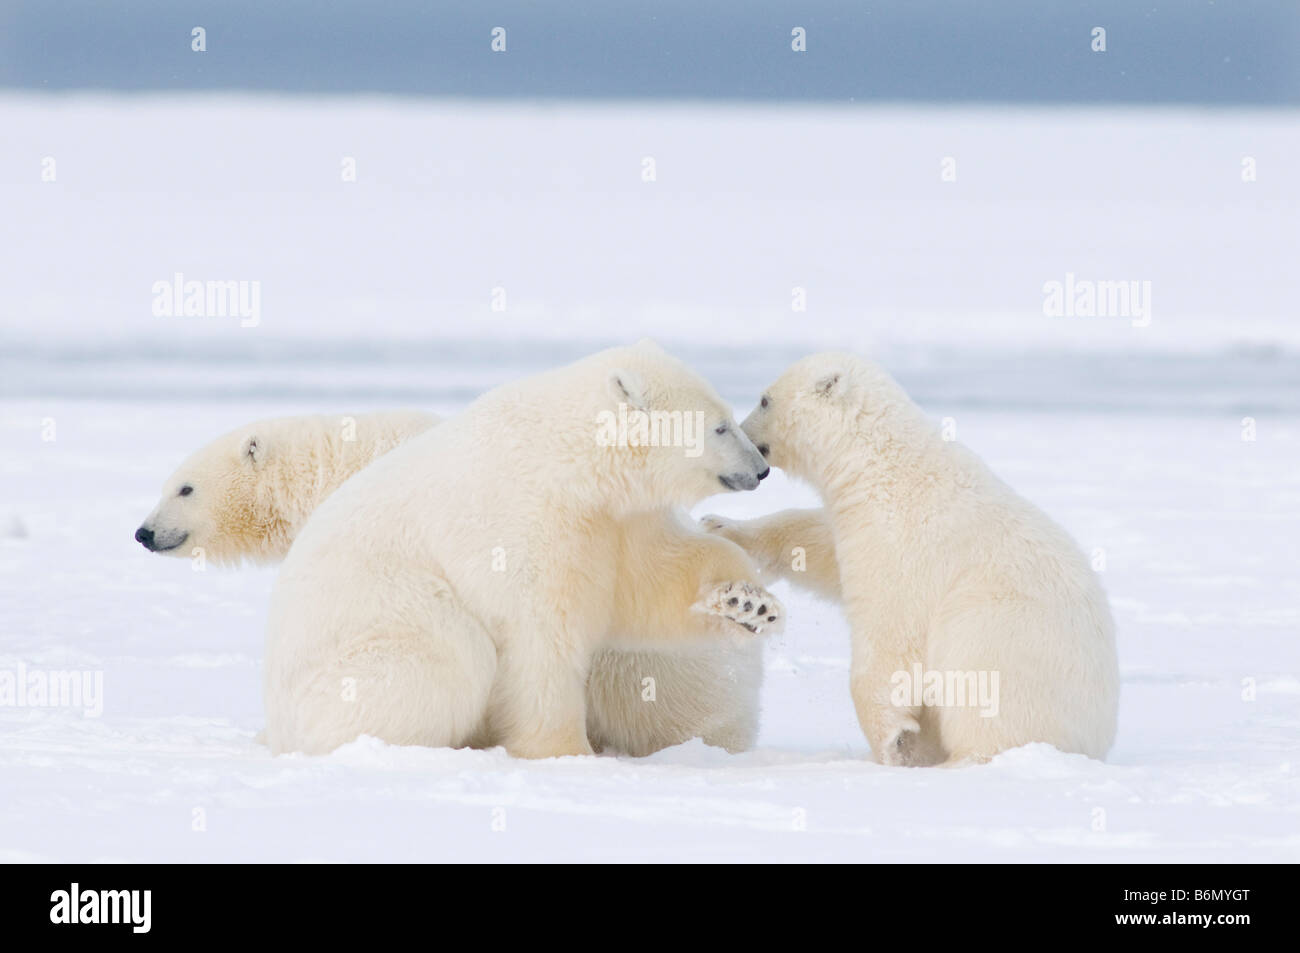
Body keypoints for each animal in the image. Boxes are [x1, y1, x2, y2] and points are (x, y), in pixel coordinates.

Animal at [708, 352, 1119, 765]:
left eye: (764, 400)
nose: (751, 445)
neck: (882, 463)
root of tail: (1096, 738)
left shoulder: (904, 541)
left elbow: (891, 632)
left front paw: (894, 741)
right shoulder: (860, 523)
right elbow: (822, 547)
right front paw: (722, 527)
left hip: (1004, 638)